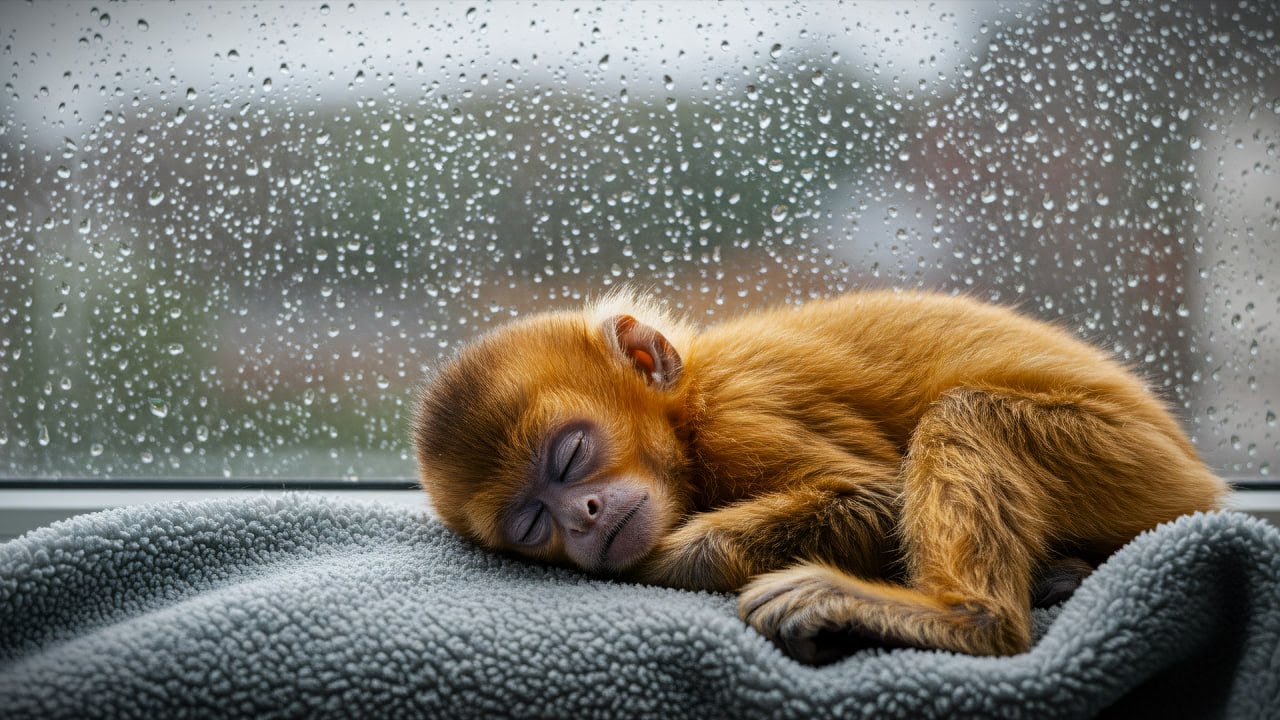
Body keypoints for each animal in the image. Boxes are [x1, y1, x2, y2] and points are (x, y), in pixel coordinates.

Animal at [413, 290, 1228, 663]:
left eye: (571, 456)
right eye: (531, 522)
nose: (582, 515)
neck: (690, 410)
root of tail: (1199, 481)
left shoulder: (746, 407)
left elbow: (875, 499)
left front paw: (661, 559)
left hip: (1121, 454)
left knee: (966, 416)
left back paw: (965, 621)